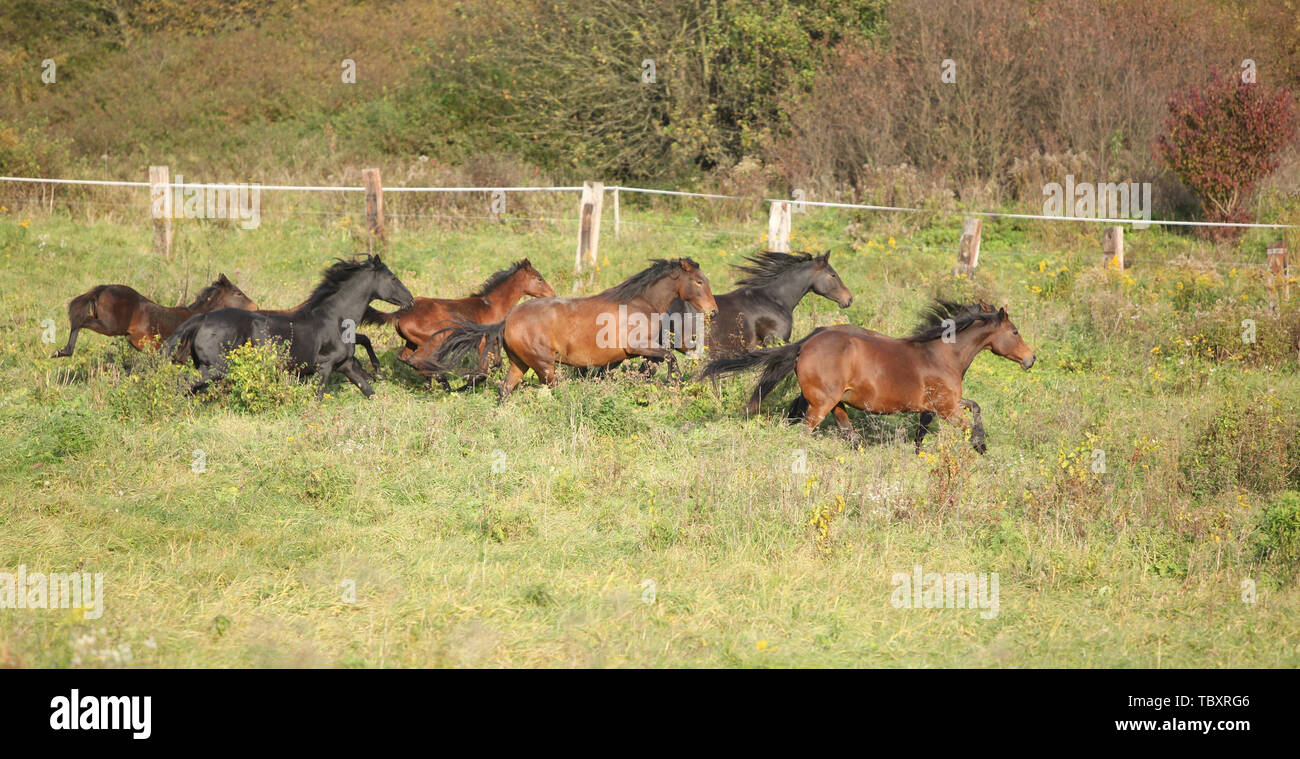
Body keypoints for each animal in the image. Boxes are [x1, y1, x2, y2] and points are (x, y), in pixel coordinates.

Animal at [51, 274, 257, 357]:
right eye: (238, 293)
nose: (255, 306)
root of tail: (103, 289)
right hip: (109, 326)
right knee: (80, 321)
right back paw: (63, 351)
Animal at [162, 256, 414, 399]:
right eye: (393, 278)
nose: (410, 300)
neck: (336, 319)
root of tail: (202, 318)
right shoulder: (324, 367)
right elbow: (317, 397)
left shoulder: (346, 365)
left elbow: (368, 391)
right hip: (214, 368)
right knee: (183, 385)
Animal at [362, 259, 555, 386]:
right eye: (539, 278)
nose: (553, 294)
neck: (492, 306)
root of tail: (401, 313)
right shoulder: (483, 341)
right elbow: (484, 369)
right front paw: (469, 379)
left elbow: (496, 363)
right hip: (435, 340)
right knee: (417, 360)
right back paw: (441, 381)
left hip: (412, 342)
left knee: (405, 358)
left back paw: (431, 382)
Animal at [425, 258, 719, 400]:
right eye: (699, 282)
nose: (713, 311)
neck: (639, 303)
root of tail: (507, 320)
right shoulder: (637, 346)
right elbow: (668, 357)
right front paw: (675, 381)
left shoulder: (635, 352)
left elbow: (653, 363)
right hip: (545, 366)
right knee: (547, 390)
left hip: (519, 364)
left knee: (505, 390)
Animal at [700, 301, 1036, 454]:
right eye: (1015, 332)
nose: (1031, 359)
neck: (942, 354)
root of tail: (805, 344)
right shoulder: (947, 407)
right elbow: (968, 423)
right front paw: (980, 446)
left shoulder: (939, 405)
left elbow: (950, 419)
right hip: (821, 405)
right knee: (805, 430)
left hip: (835, 403)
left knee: (846, 433)